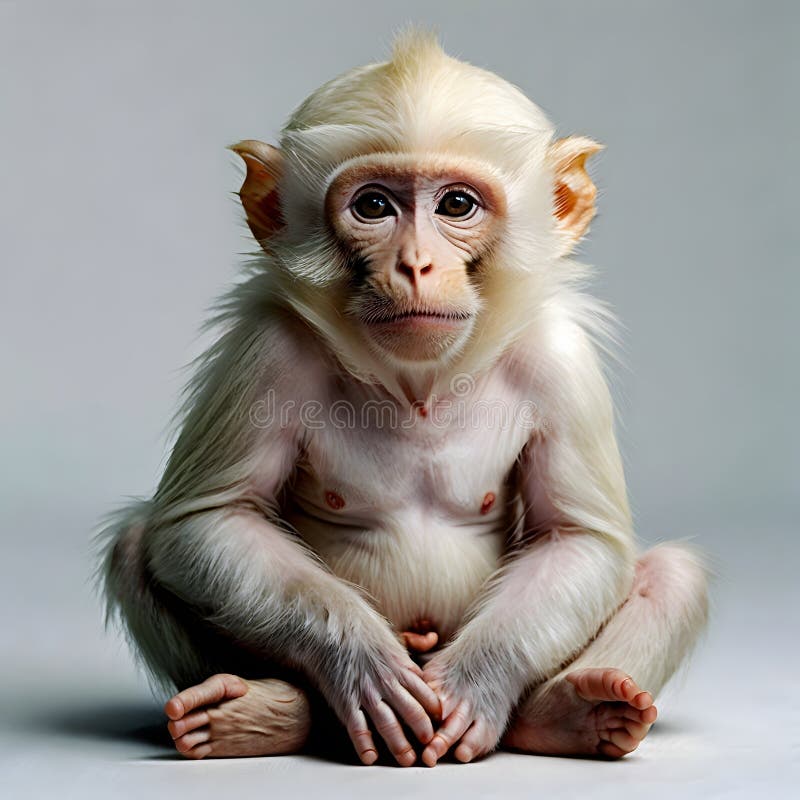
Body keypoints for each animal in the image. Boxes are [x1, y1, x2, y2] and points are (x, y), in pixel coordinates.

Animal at [99, 31, 709, 766]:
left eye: (455, 206)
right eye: (374, 207)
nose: (415, 263)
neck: (420, 383)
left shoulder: (561, 360)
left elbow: (579, 537)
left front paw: (479, 680)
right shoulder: (267, 353)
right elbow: (204, 520)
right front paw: (361, 662)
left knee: (672, 574)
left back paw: (568, 712)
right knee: (137, 545)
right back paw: (266, 712)